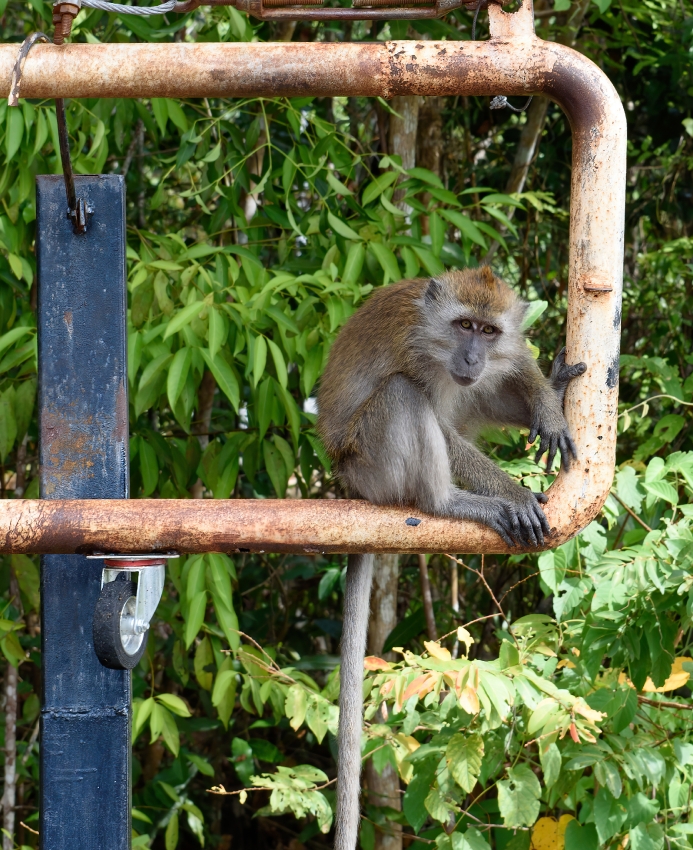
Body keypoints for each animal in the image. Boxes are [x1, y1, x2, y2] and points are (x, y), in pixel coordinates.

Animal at [316, 267, 586, 850]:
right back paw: (451, 501)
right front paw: (512, 493)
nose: (471, 356)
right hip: (373, 465)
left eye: (487, 330)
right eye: (463, 326)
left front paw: (548, 402)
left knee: (478, 395)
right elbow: (432, 416)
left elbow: (518, 359)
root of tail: (349, 485)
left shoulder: (498, 349)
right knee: (404, 397)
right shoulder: (418, 355)